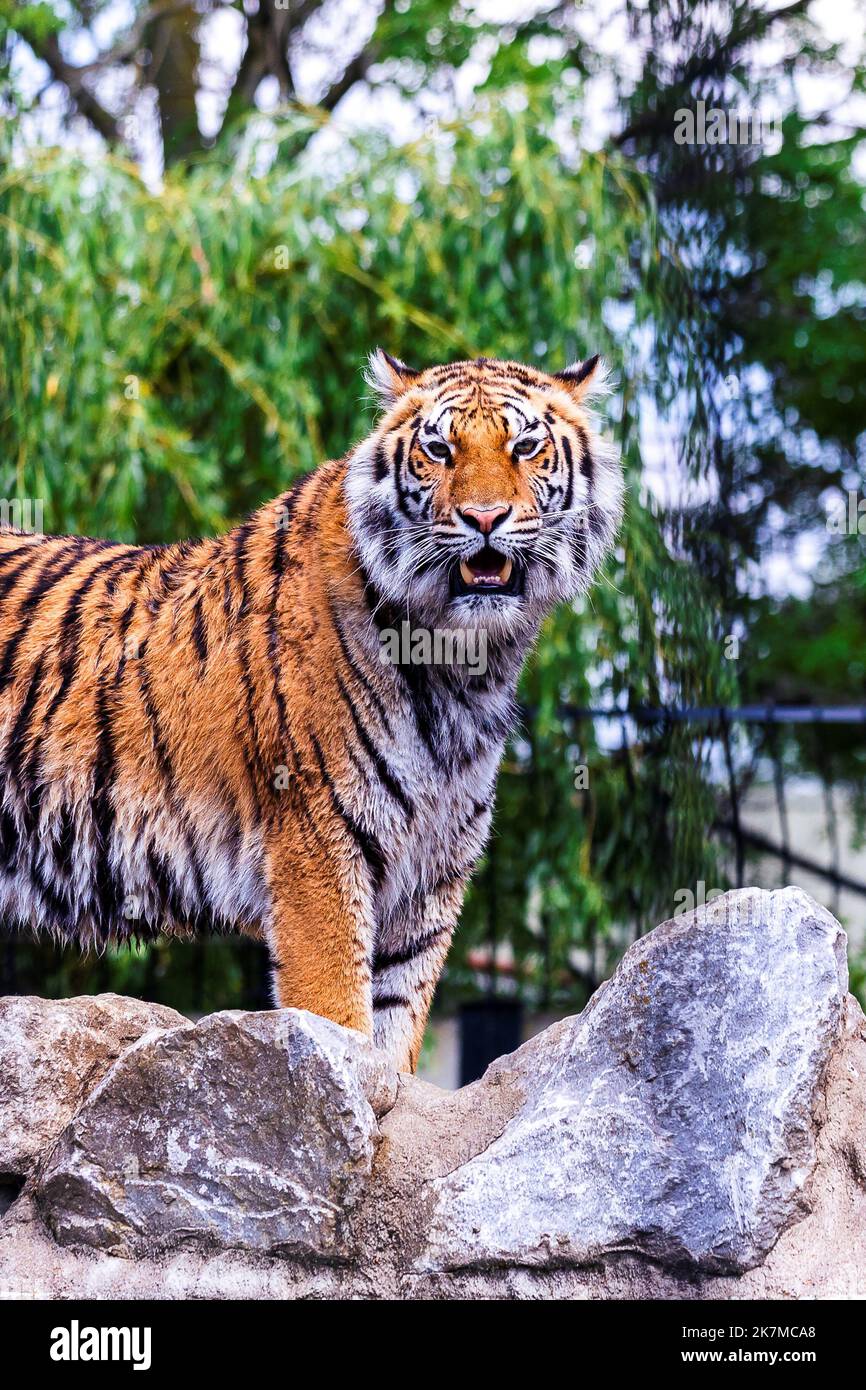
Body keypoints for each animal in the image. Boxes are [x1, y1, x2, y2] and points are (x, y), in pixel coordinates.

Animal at [0, 351, 622, 1072]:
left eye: (525, 447)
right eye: (439, 450)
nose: (485, 517)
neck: (465, 663)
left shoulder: (430, 878)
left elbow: (394, 1036)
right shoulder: (318, 847)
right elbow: (338, 1018)